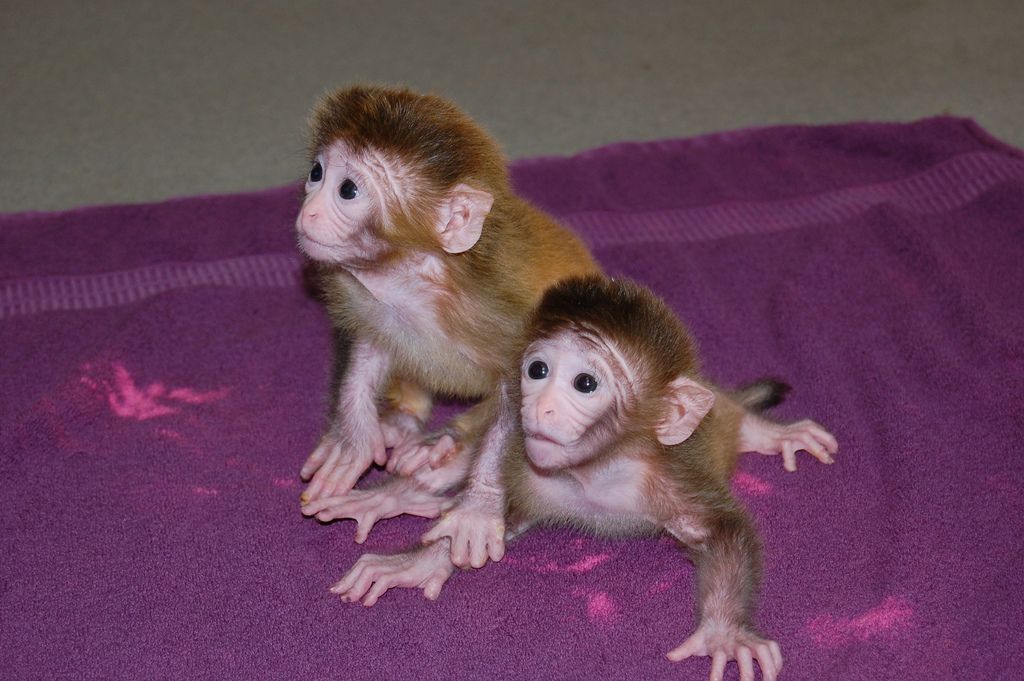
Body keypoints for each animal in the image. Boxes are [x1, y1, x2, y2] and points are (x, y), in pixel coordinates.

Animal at [295, 85, 601, 503]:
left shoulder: (494, 314)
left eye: (348, 190)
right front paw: (352, 438)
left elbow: (518, 390)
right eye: (316, 173)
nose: (309, 212)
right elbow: (370, 345)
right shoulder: (365, 294)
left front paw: (476, 496)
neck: (415, 281)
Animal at [329, 276, 839, 681]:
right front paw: (418, 560)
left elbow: (722, 531)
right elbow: (491, 518)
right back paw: (397, 493)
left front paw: (725, 632)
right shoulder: (534, 471)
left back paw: (762, 429)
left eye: (585, 384)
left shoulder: (664, 479)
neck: (594, 473)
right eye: (537, 370)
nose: (540, 406)